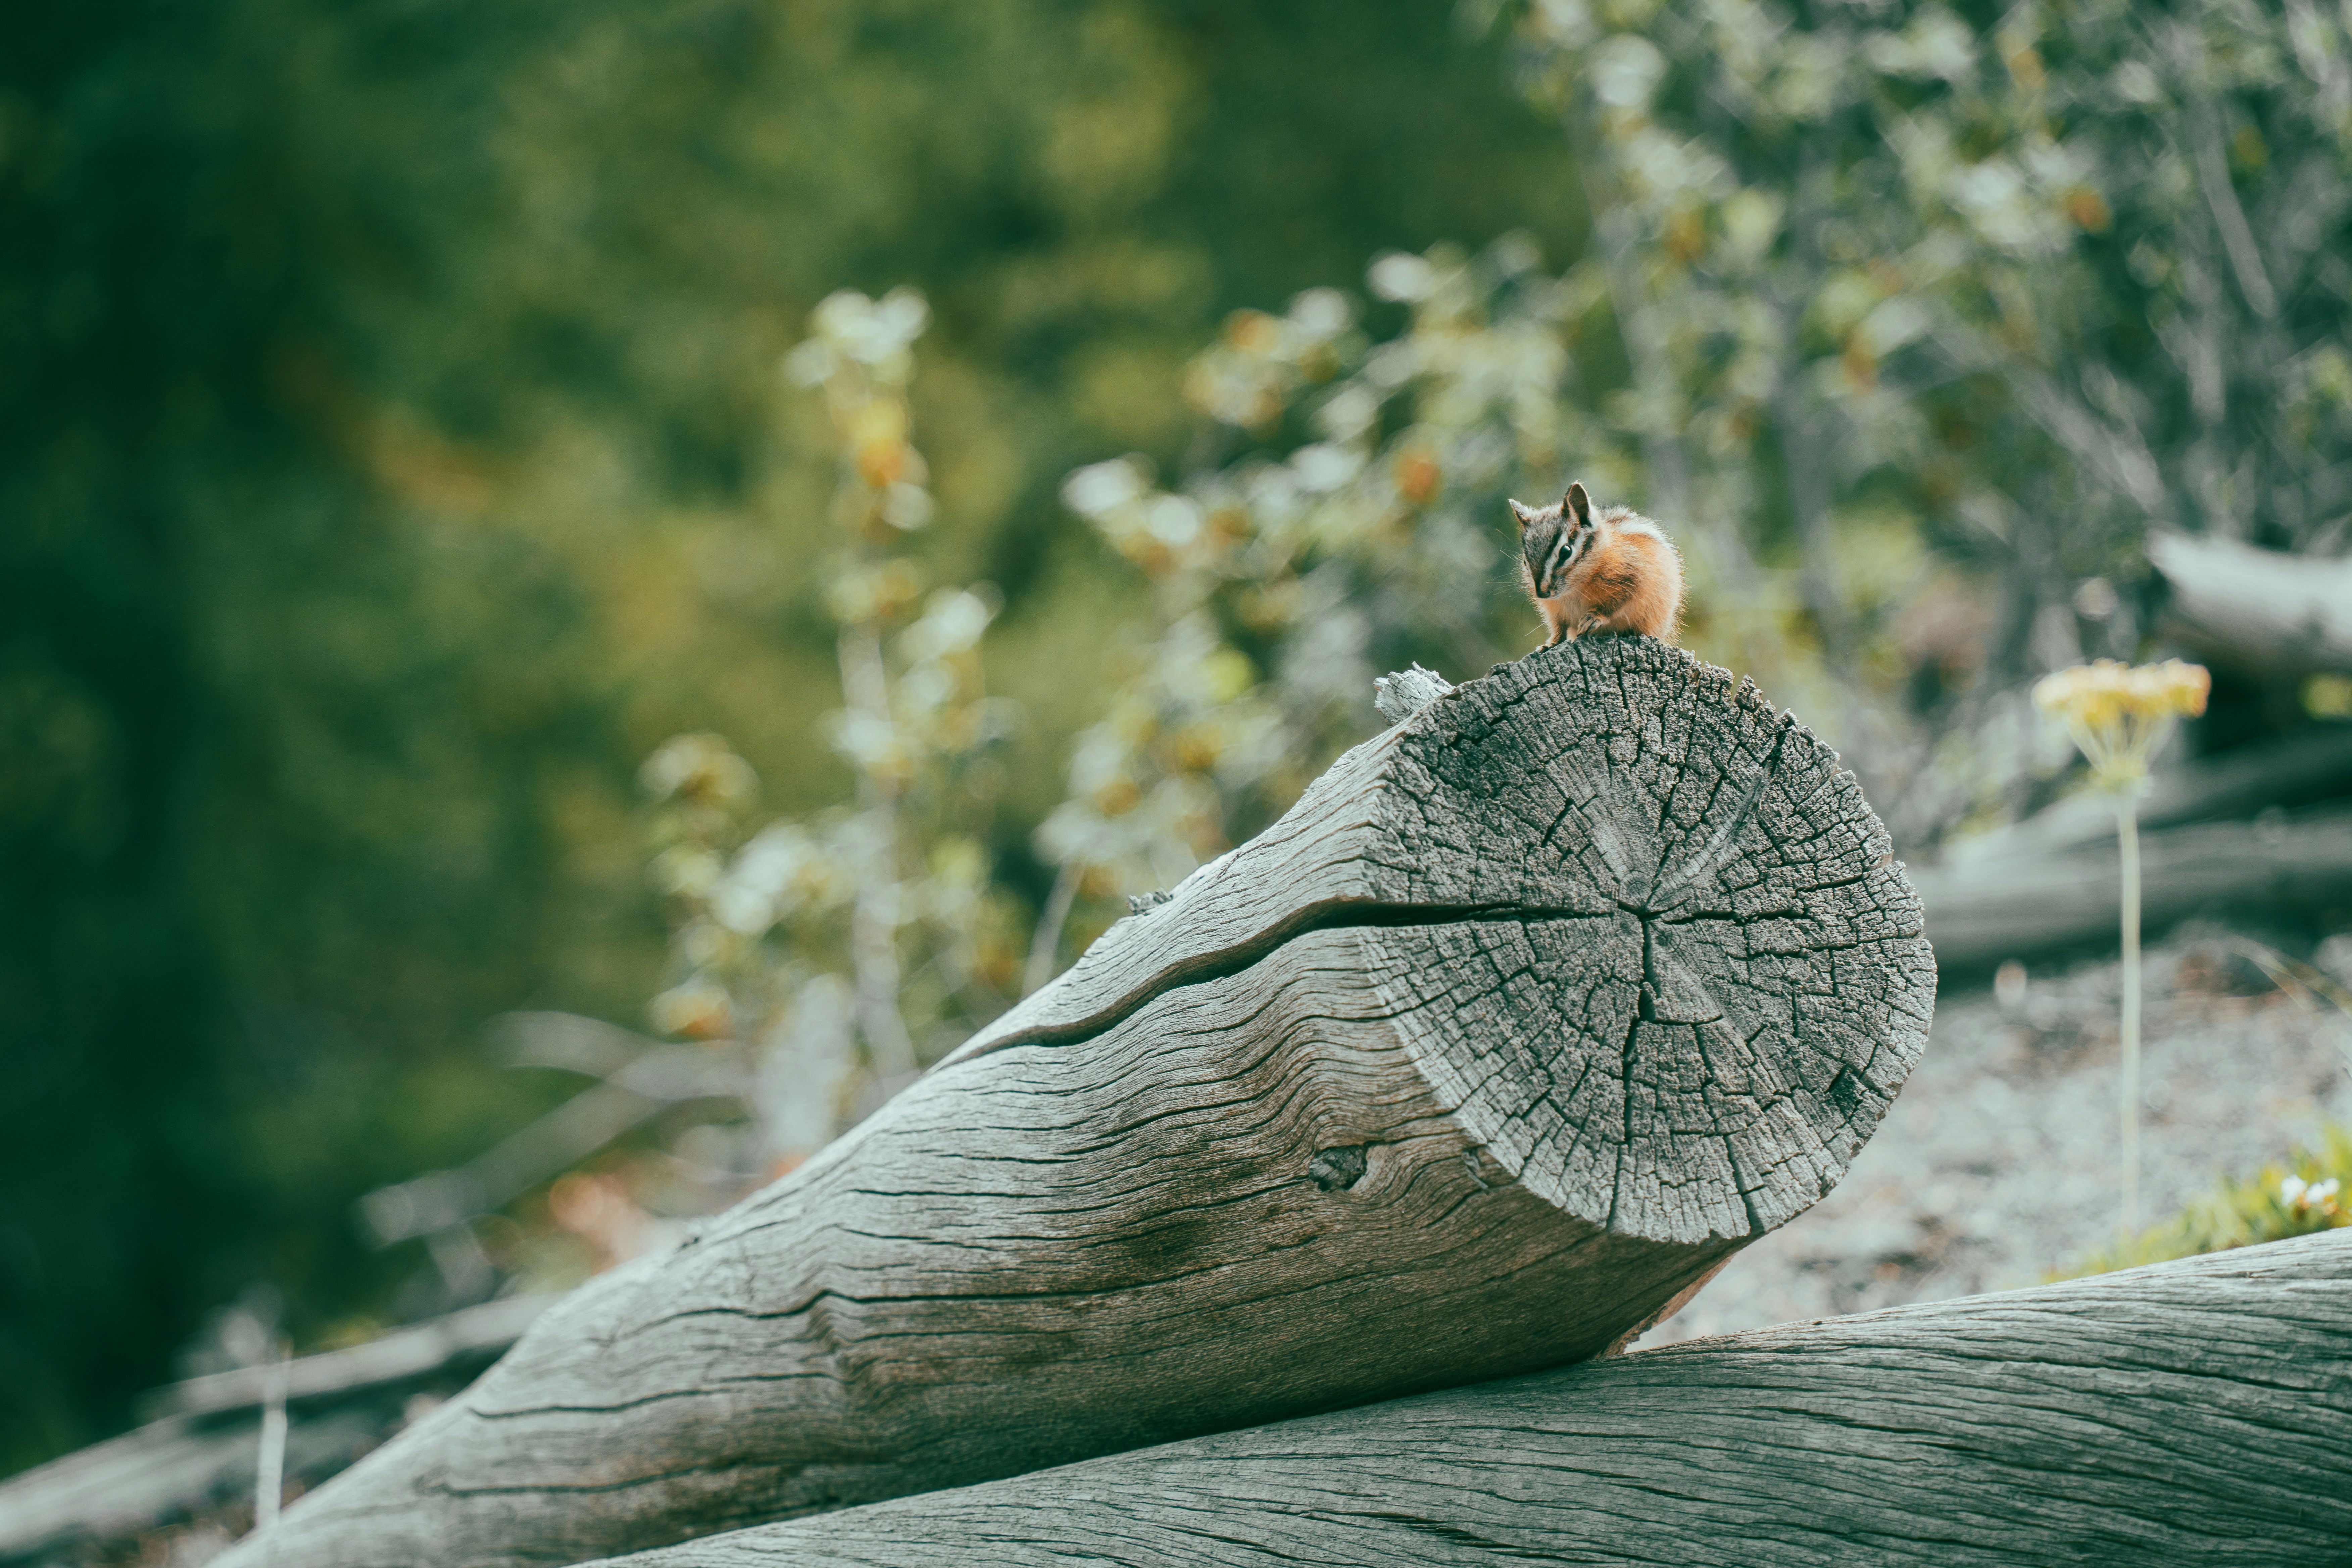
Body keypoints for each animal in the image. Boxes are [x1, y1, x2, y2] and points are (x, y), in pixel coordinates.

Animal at [1509, 481, 1684, 647]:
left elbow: (1616, 603)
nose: (1542, 594)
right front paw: (1551, 644)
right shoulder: (1554, 611)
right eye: (1525, 561)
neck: (1576, 586)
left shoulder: (1635, 577)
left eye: (1566, 552)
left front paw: (1594, 618)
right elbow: (1559, 628)